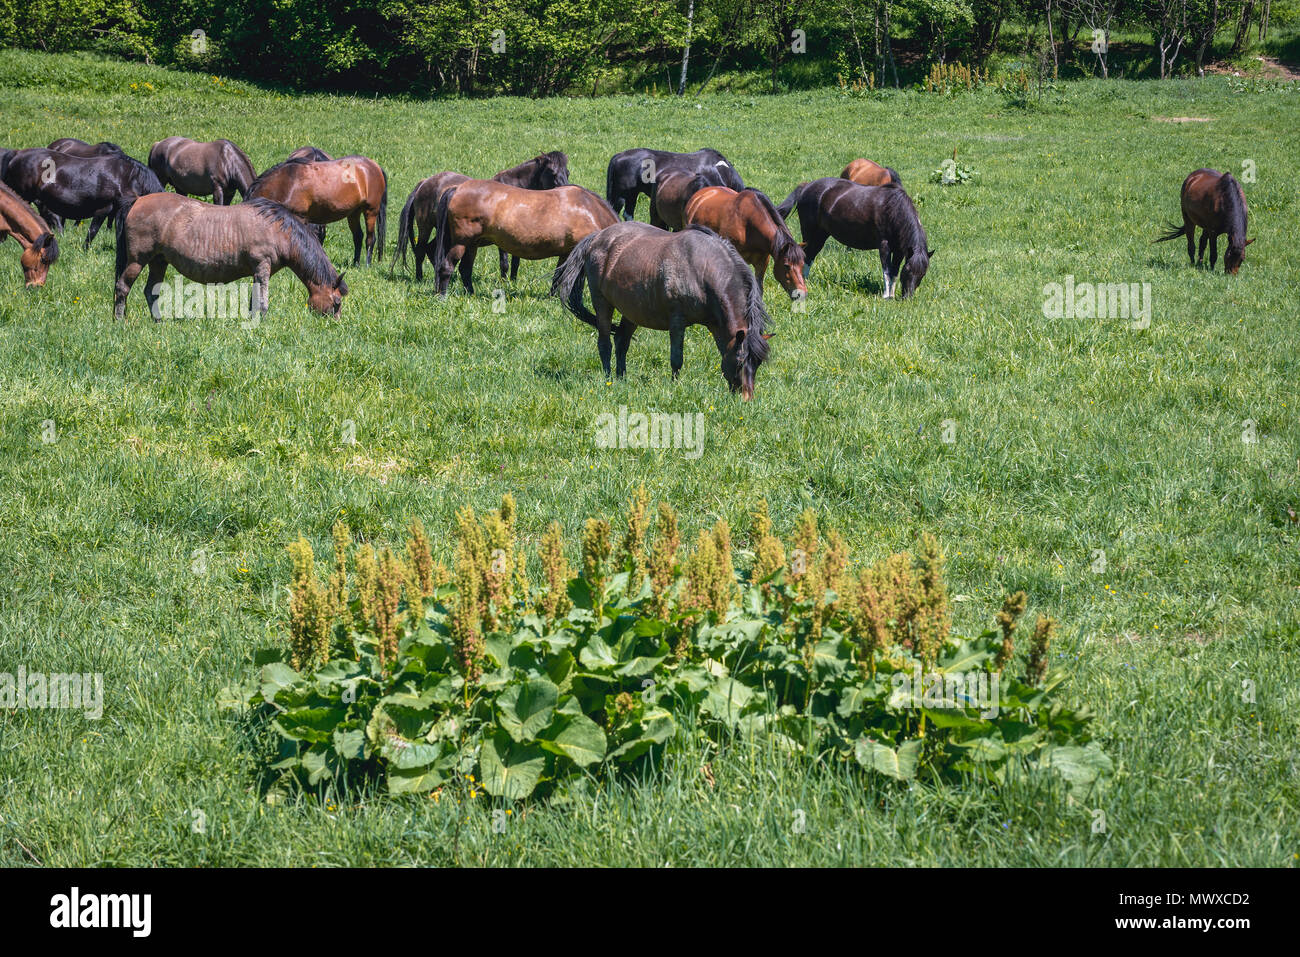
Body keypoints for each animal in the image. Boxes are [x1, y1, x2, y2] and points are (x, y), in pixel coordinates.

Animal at [114, 194, 347, 321]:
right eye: (336, 303)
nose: (335, 324)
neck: (279, 231)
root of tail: (137, 200)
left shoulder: (258, 271)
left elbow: (254, 300)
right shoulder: (262, 266)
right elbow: (262, 302)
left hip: (159, 261)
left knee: (150, 291)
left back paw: (159, 321)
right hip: (137, 260)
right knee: (122, 287)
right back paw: (119, 321)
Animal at [247, 156, 388, 266]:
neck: (286, 182)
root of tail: (375, 166)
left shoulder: (299, 217)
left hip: (371, 211)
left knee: (370, 239)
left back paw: (367, 265)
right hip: (354, 213)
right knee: (358, 236)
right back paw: (355, 264)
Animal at [432, 180, 617, 296]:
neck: (590, 209)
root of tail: (457, 189)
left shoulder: (566, 254)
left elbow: (558, 278)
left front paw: (552, 297)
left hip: (472, 245)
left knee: (465, 270)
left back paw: (470, 294)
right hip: (461, 243)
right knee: (447, 267)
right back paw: (442, 297)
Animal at [551, 222, 770, 399]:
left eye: (758, 363)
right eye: (740, 362)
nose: (746, 399)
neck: (701, 270)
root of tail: (596, 237)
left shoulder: (716, 325)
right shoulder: (677, 321)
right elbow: (676, 358)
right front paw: (675, 387)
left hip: (632, 311)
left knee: (621, 341)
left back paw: (621, 378)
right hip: (602, 302)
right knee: (605, 343)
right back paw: (608, 379)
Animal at [778, 177, 932, 298]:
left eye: (923, 274)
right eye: (908, 271)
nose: (907, 297)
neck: (894, 209)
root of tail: (806, 186)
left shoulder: (899, 251)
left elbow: (894, 272)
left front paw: (892, 295)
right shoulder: (884, 246)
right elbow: (887, 271)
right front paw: (886, 296)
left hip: (821, 235)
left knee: (809, 256)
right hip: (809, 233)